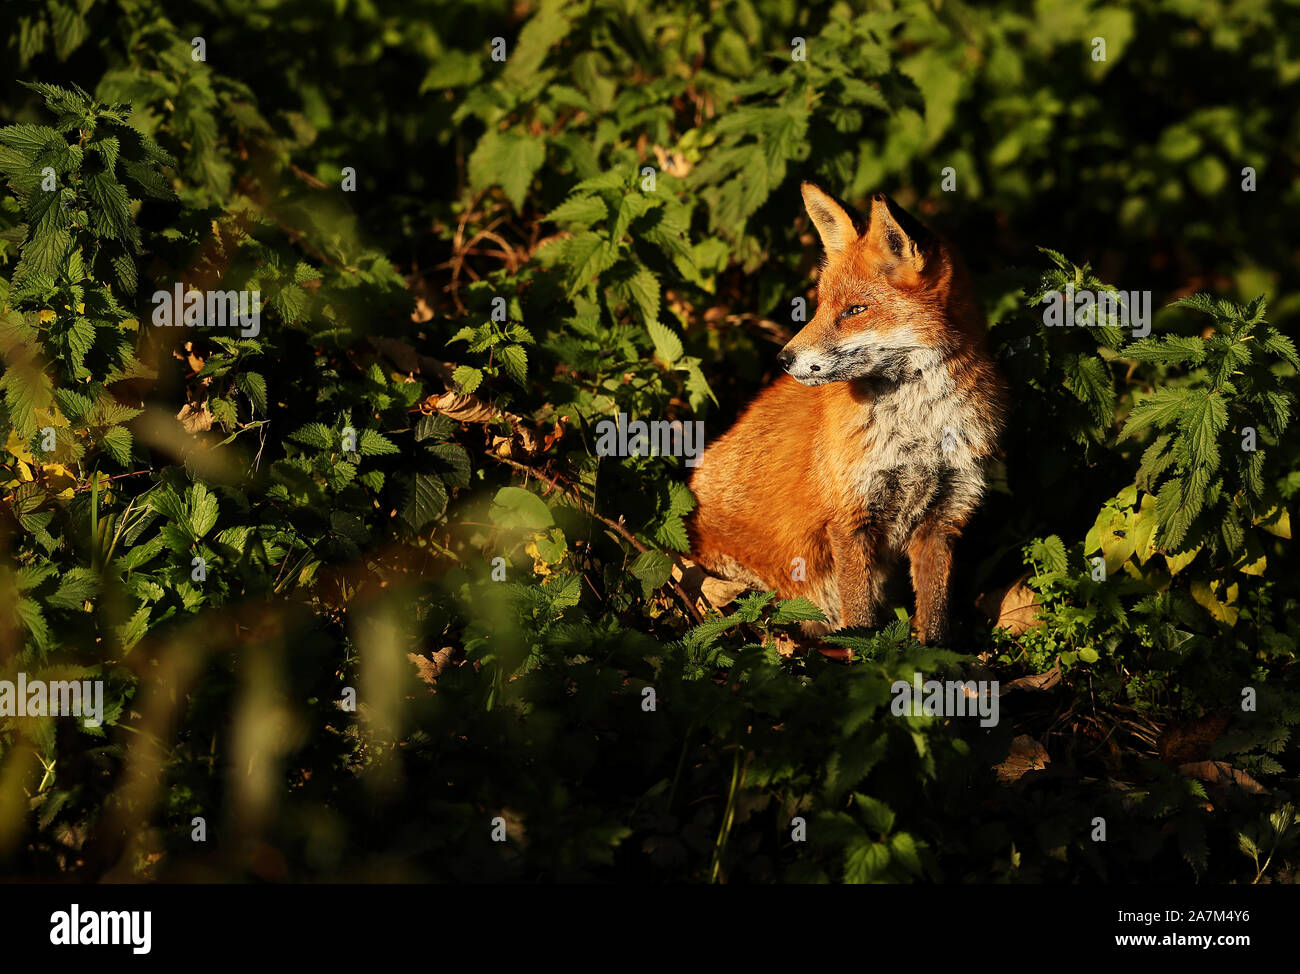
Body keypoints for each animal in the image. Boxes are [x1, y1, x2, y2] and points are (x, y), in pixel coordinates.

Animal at [687, 182, 1008, 645]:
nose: (784, 360)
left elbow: (934, 620)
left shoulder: (943, 519)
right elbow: (860, 621)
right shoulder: (849, 518)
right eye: (820, 305)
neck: (918, 432)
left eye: (856, 310)